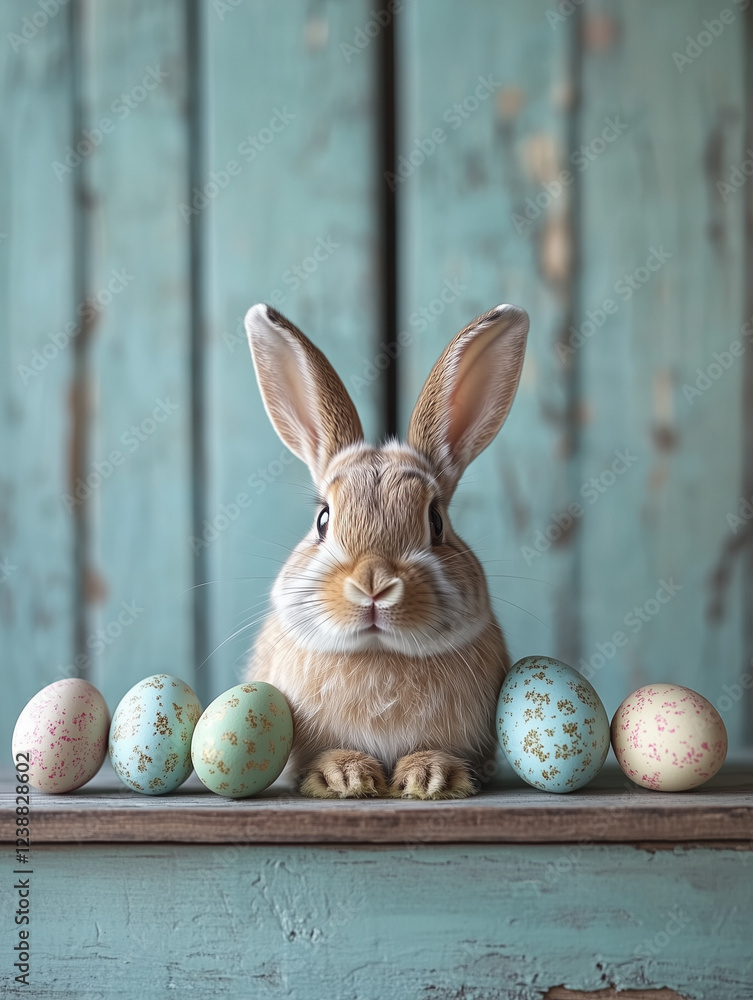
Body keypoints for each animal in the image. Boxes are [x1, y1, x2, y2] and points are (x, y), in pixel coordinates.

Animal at [243, 301, 529, 798]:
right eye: (323, 520)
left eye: (436, 522)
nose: (373, 585)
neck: (379, 651)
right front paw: (344, 776)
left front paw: (429, 777)